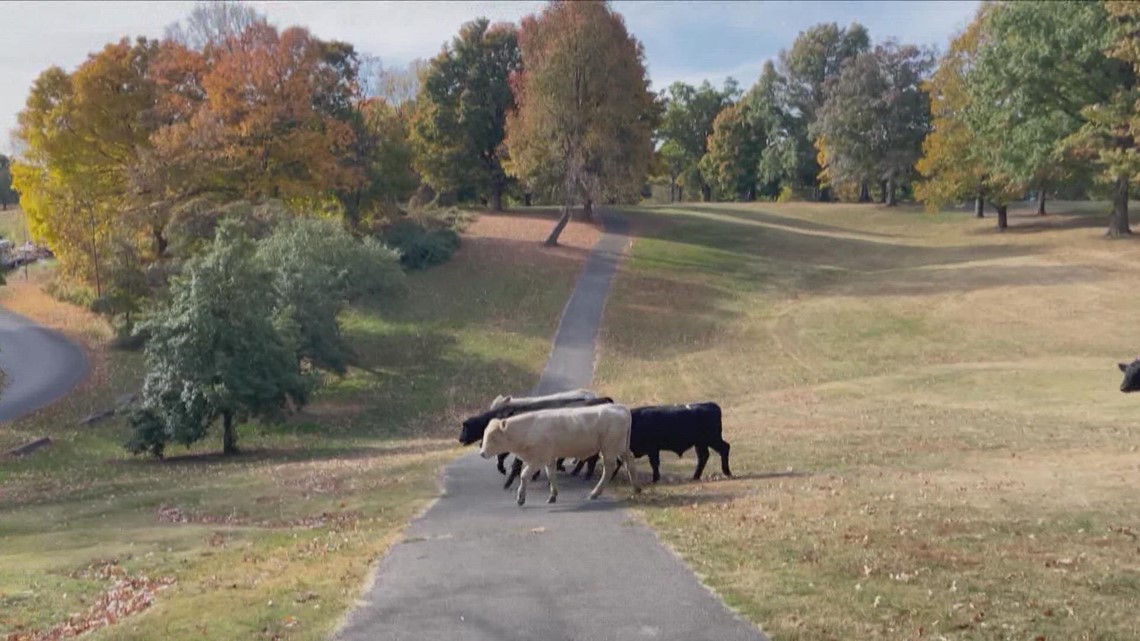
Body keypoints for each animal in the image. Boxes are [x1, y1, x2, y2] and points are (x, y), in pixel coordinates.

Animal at [479, 404, 641, 506]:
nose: (481, 453)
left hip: (609, 448)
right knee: (630, 462)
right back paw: (636, 488)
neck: (529, 429)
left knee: (609, 469)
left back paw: (595, 493)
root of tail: (619, 407)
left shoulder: (539, 459)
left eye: (493, 437)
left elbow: (524, 475)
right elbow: (551, 475)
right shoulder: (549, 458)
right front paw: (552, 496)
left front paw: (520, 498)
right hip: (621, 447)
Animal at [571, 402, 732, 483]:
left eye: (588, 458)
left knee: (725, 448)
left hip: (712, 439)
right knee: (703, 457)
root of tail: (712, 405)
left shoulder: (652, 449)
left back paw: (727, 472)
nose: (579, 473)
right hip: (701, 443)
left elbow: (654, 463)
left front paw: (655, 479)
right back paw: (695, 476)